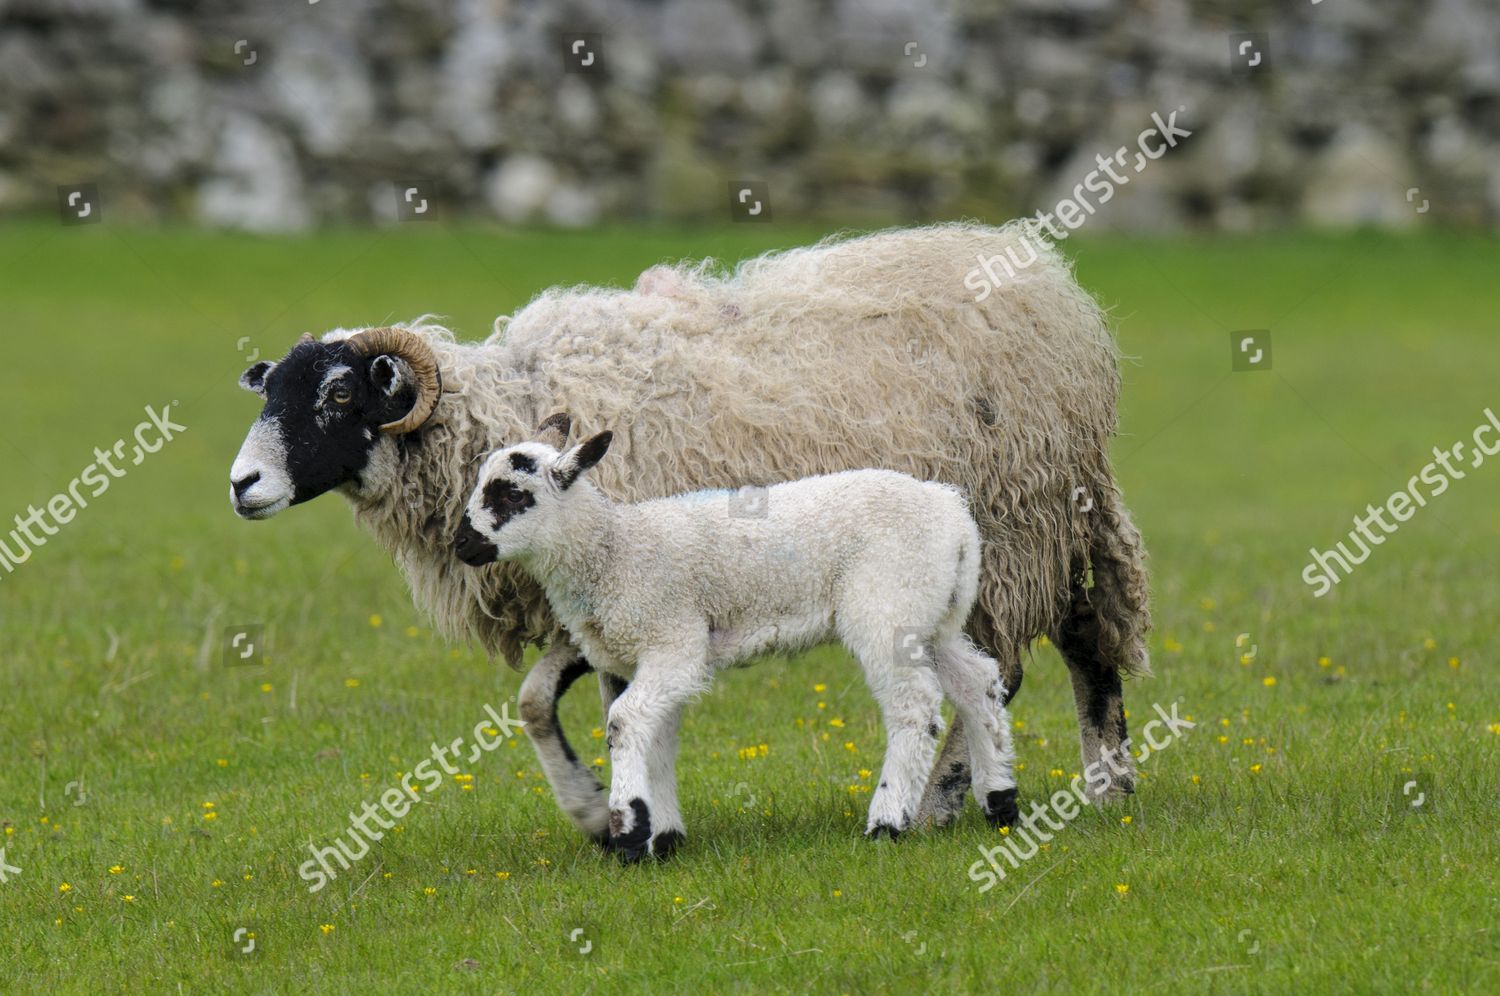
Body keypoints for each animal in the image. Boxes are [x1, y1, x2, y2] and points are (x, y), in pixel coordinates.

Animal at [451, 425, 1021, 859]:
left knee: (915, 707)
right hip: (932, 614)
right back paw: (1001, 801)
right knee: (978, 682)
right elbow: (657, 737)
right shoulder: (650, 655)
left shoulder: (673, 640)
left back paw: (887, 821)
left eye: (511, 494)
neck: (613, 548)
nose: (461, 544)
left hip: (887, 606)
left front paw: (630, 831)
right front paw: (664, 836)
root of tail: (956, 517)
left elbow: (624, 723)